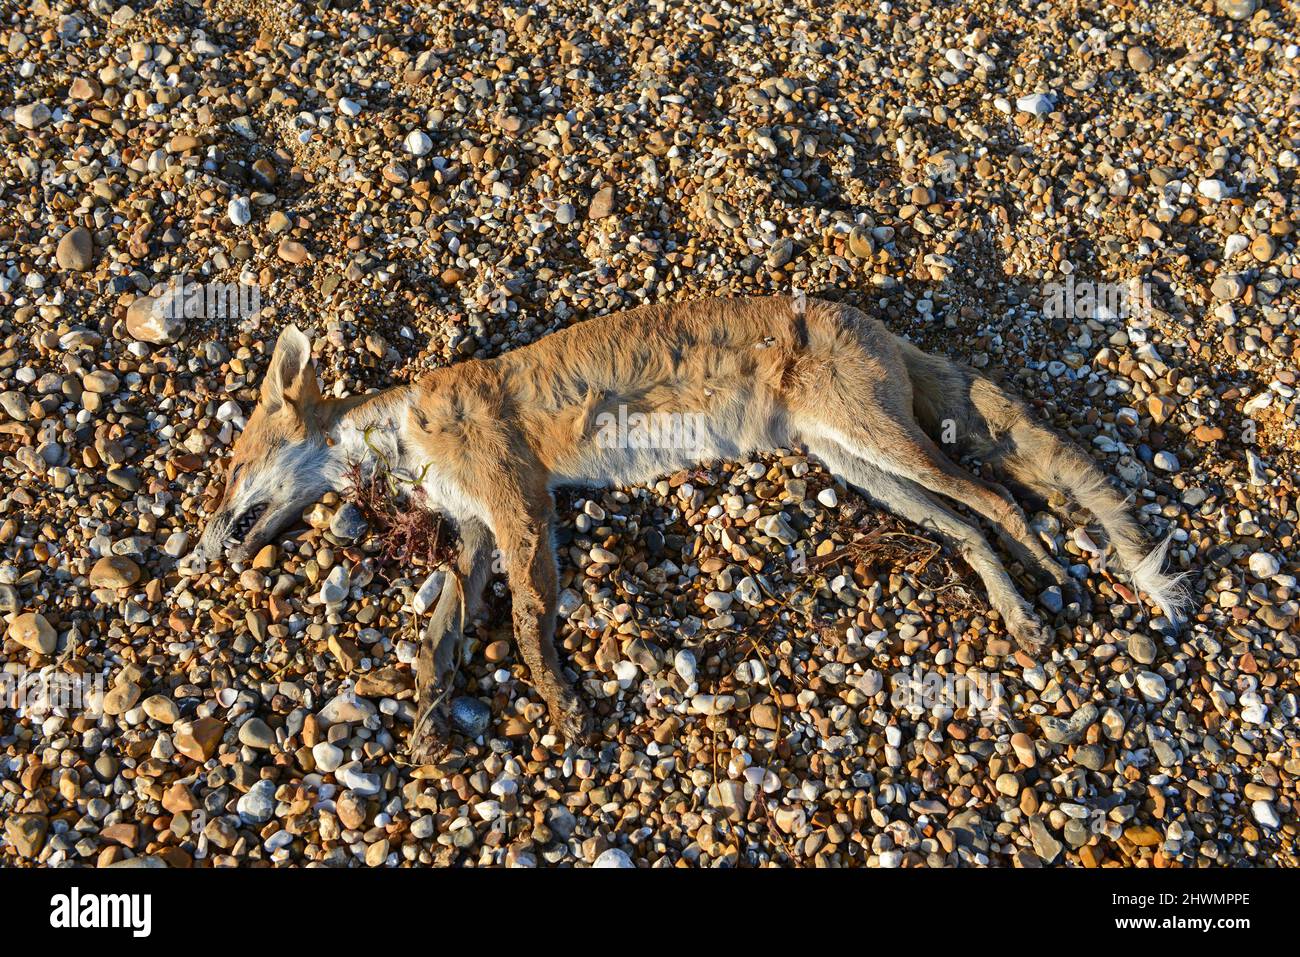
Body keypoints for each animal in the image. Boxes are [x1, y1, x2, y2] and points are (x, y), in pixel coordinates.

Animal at [192, 294, 1188, 760]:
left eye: (229, 472)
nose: (195, 551)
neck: (409, 428)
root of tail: (871, 319)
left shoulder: (521, 505)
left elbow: (530, 624)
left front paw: (562, 709)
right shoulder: (476, 530)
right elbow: (440, 642)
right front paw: (433, 727)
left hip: (880, 446)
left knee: (1003, 502)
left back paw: (1045, 571)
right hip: (858, 464)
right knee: (972, 527)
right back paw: (1016, 604)